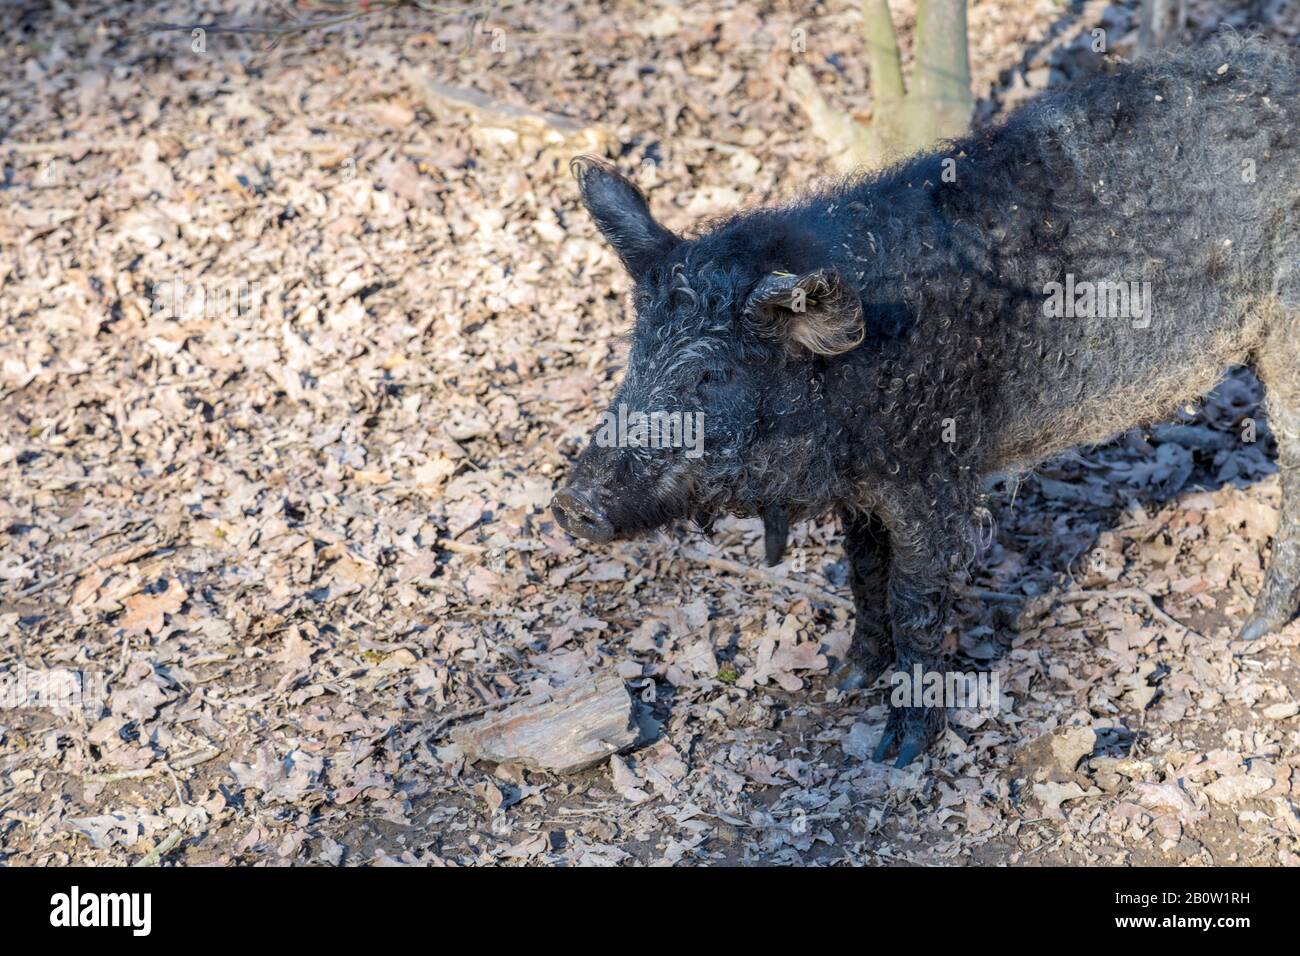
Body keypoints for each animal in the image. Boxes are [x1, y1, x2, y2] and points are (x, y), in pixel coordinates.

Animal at [550, 36, 1299, 766]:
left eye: (711, 375)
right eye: (638, 349)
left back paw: (1250, 630)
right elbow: (862, 573)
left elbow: (914, 598)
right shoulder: (862, 490)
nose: (569, 503)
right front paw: (844, 679)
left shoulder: (932, 477)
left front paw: (900, 753)